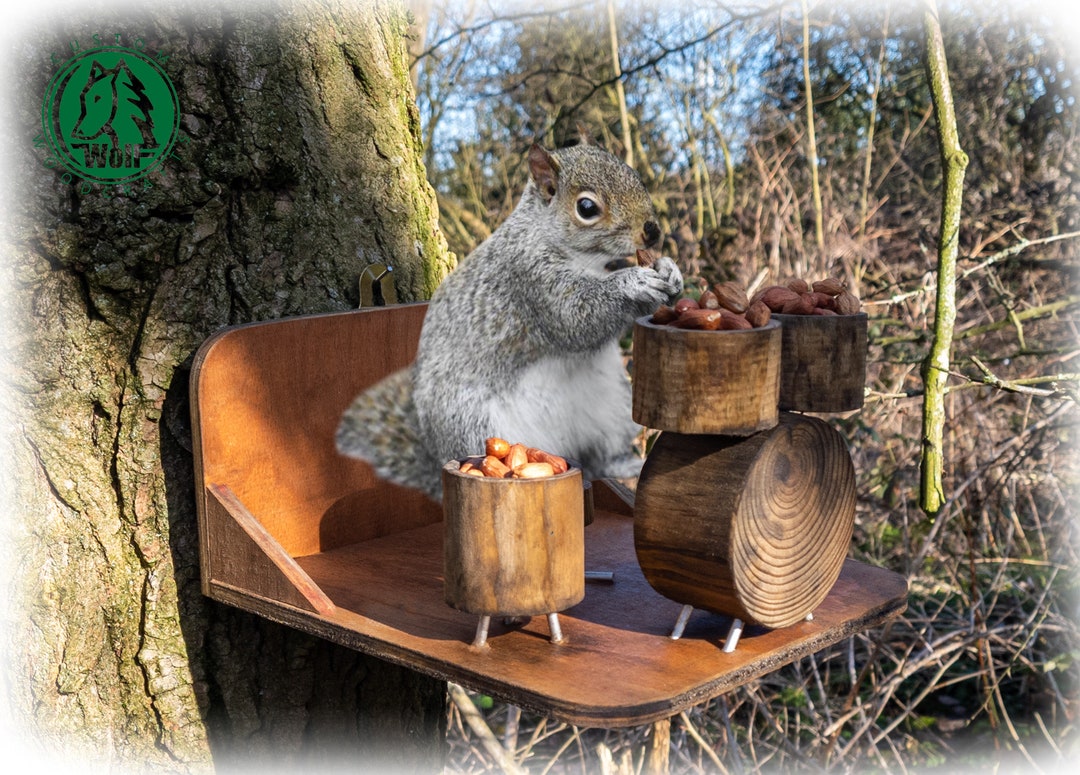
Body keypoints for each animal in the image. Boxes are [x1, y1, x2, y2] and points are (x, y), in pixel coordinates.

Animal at [336, 143, 683, 499]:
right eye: (586, 207)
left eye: (637, 178)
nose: (652, 231)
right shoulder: (529, 277)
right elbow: (574, 316)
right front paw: (633, 283)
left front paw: (669, 269)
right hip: (477, 422)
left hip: (611, 406)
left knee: (599, 457)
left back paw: (624, 466)